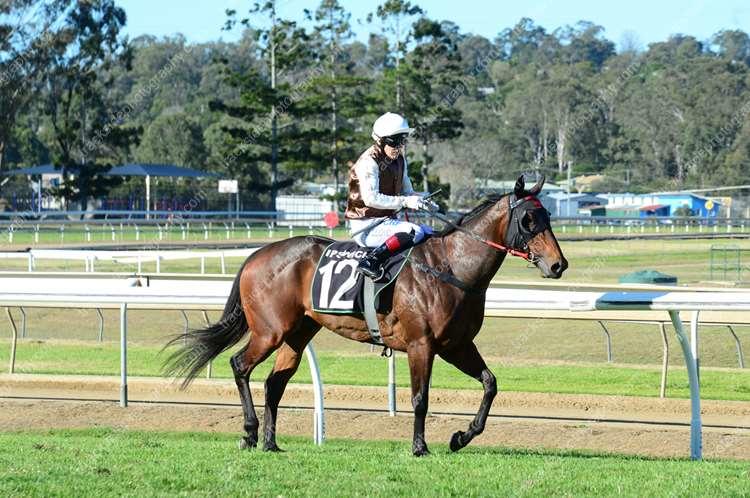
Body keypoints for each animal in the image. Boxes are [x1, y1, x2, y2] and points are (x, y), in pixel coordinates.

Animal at [165, 174, 568, 456]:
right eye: (529, 219)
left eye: (547, 214)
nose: (558, 265)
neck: (452, 267)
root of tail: (255, 255)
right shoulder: (421, 345)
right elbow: (420, 399)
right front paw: (420, 447)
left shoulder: (456, 345)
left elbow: (490, 384)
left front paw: (461, 437)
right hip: (270, 331)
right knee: (240, 365)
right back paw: (249, 433)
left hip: (299, 332)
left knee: (274, 383)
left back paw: (270, 442)